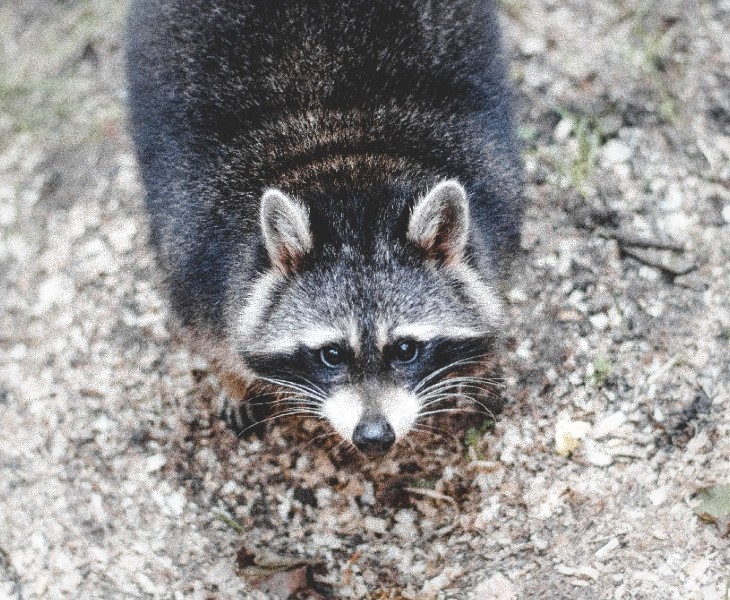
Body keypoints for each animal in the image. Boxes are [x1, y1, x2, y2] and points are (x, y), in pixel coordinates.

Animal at [126, 0, 523, 457]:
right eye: (331, 354)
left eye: (405, 349)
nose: (374, 437)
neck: (345, 162)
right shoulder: (196, 249)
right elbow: (208, 332)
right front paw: (233, 378)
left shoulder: (494, 197)